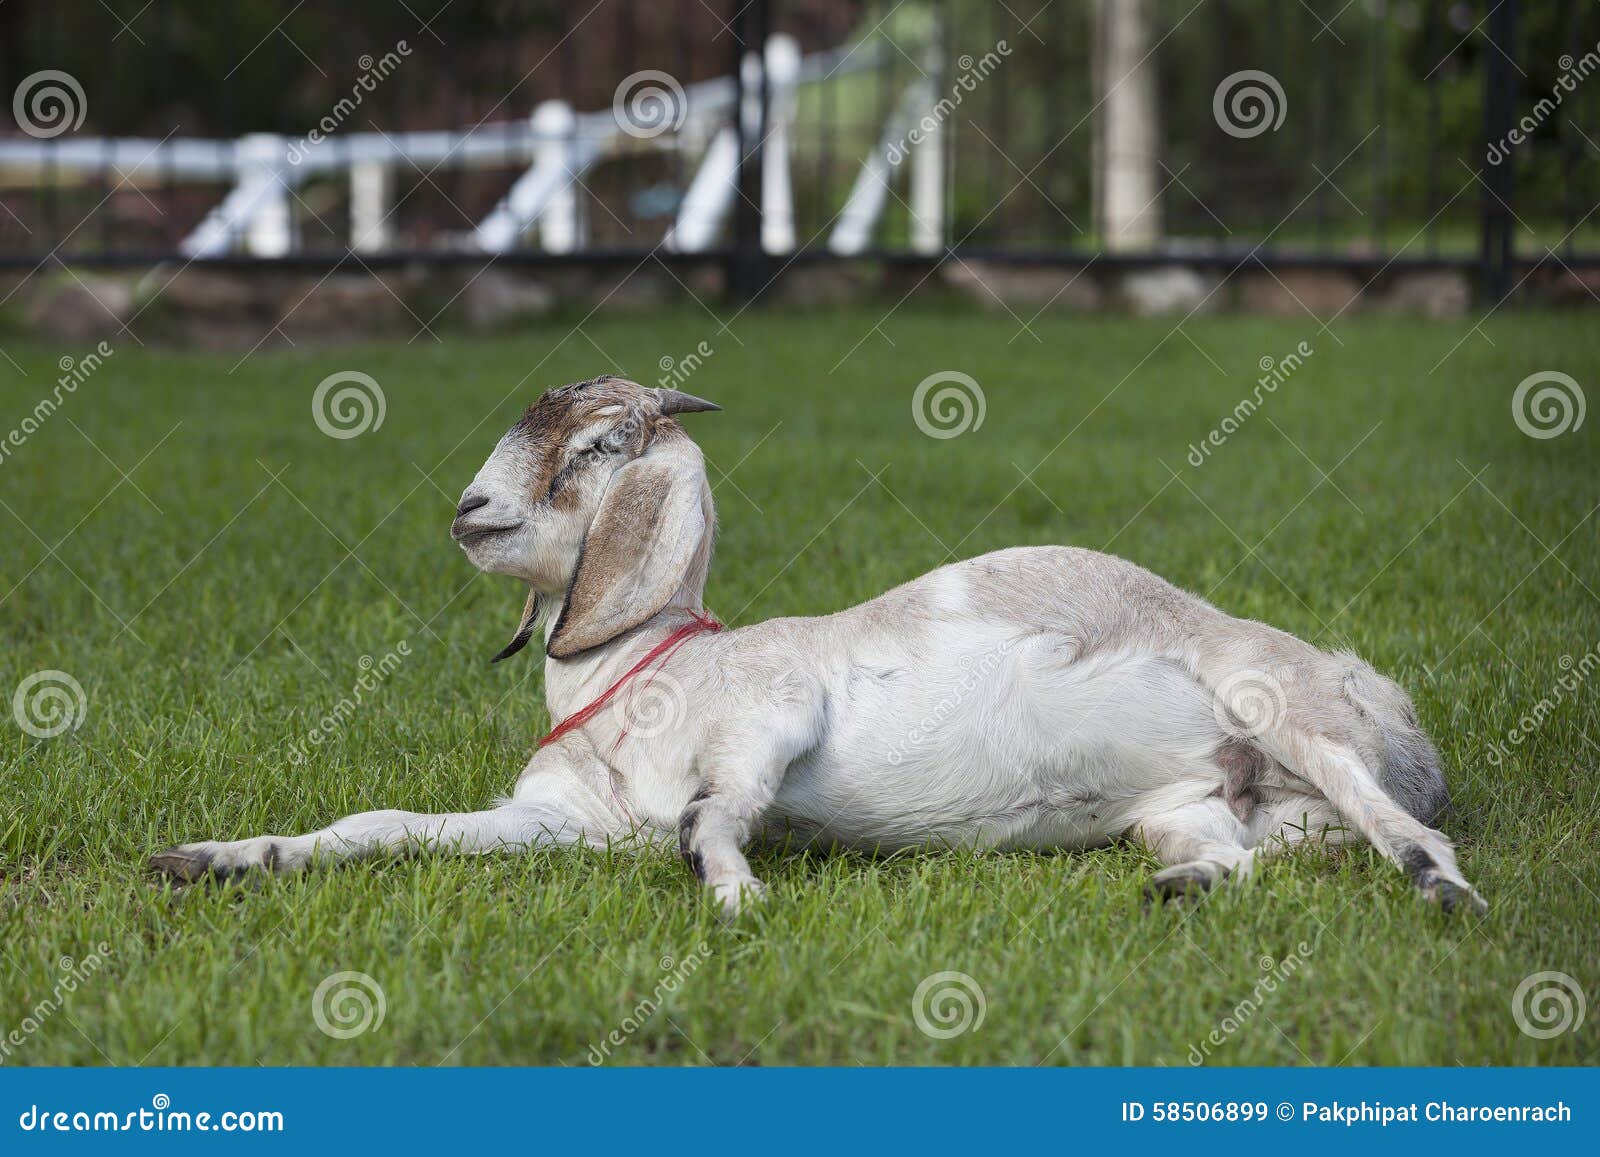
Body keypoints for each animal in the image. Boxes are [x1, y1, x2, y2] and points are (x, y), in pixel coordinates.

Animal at [151, 375, 1486, 917]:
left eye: (602, 443)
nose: (468, 512)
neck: (649, 676)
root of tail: (1389, 713)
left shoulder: (775, 713)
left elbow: (719, 806)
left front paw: (729, 884)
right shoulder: (564, 825)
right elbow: (375, 826)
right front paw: (211, 857)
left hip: (1280, 701)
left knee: (1411, 831)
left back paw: (1442, 888)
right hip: (1199, 803)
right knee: (1237, 856)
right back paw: (1179, 889)